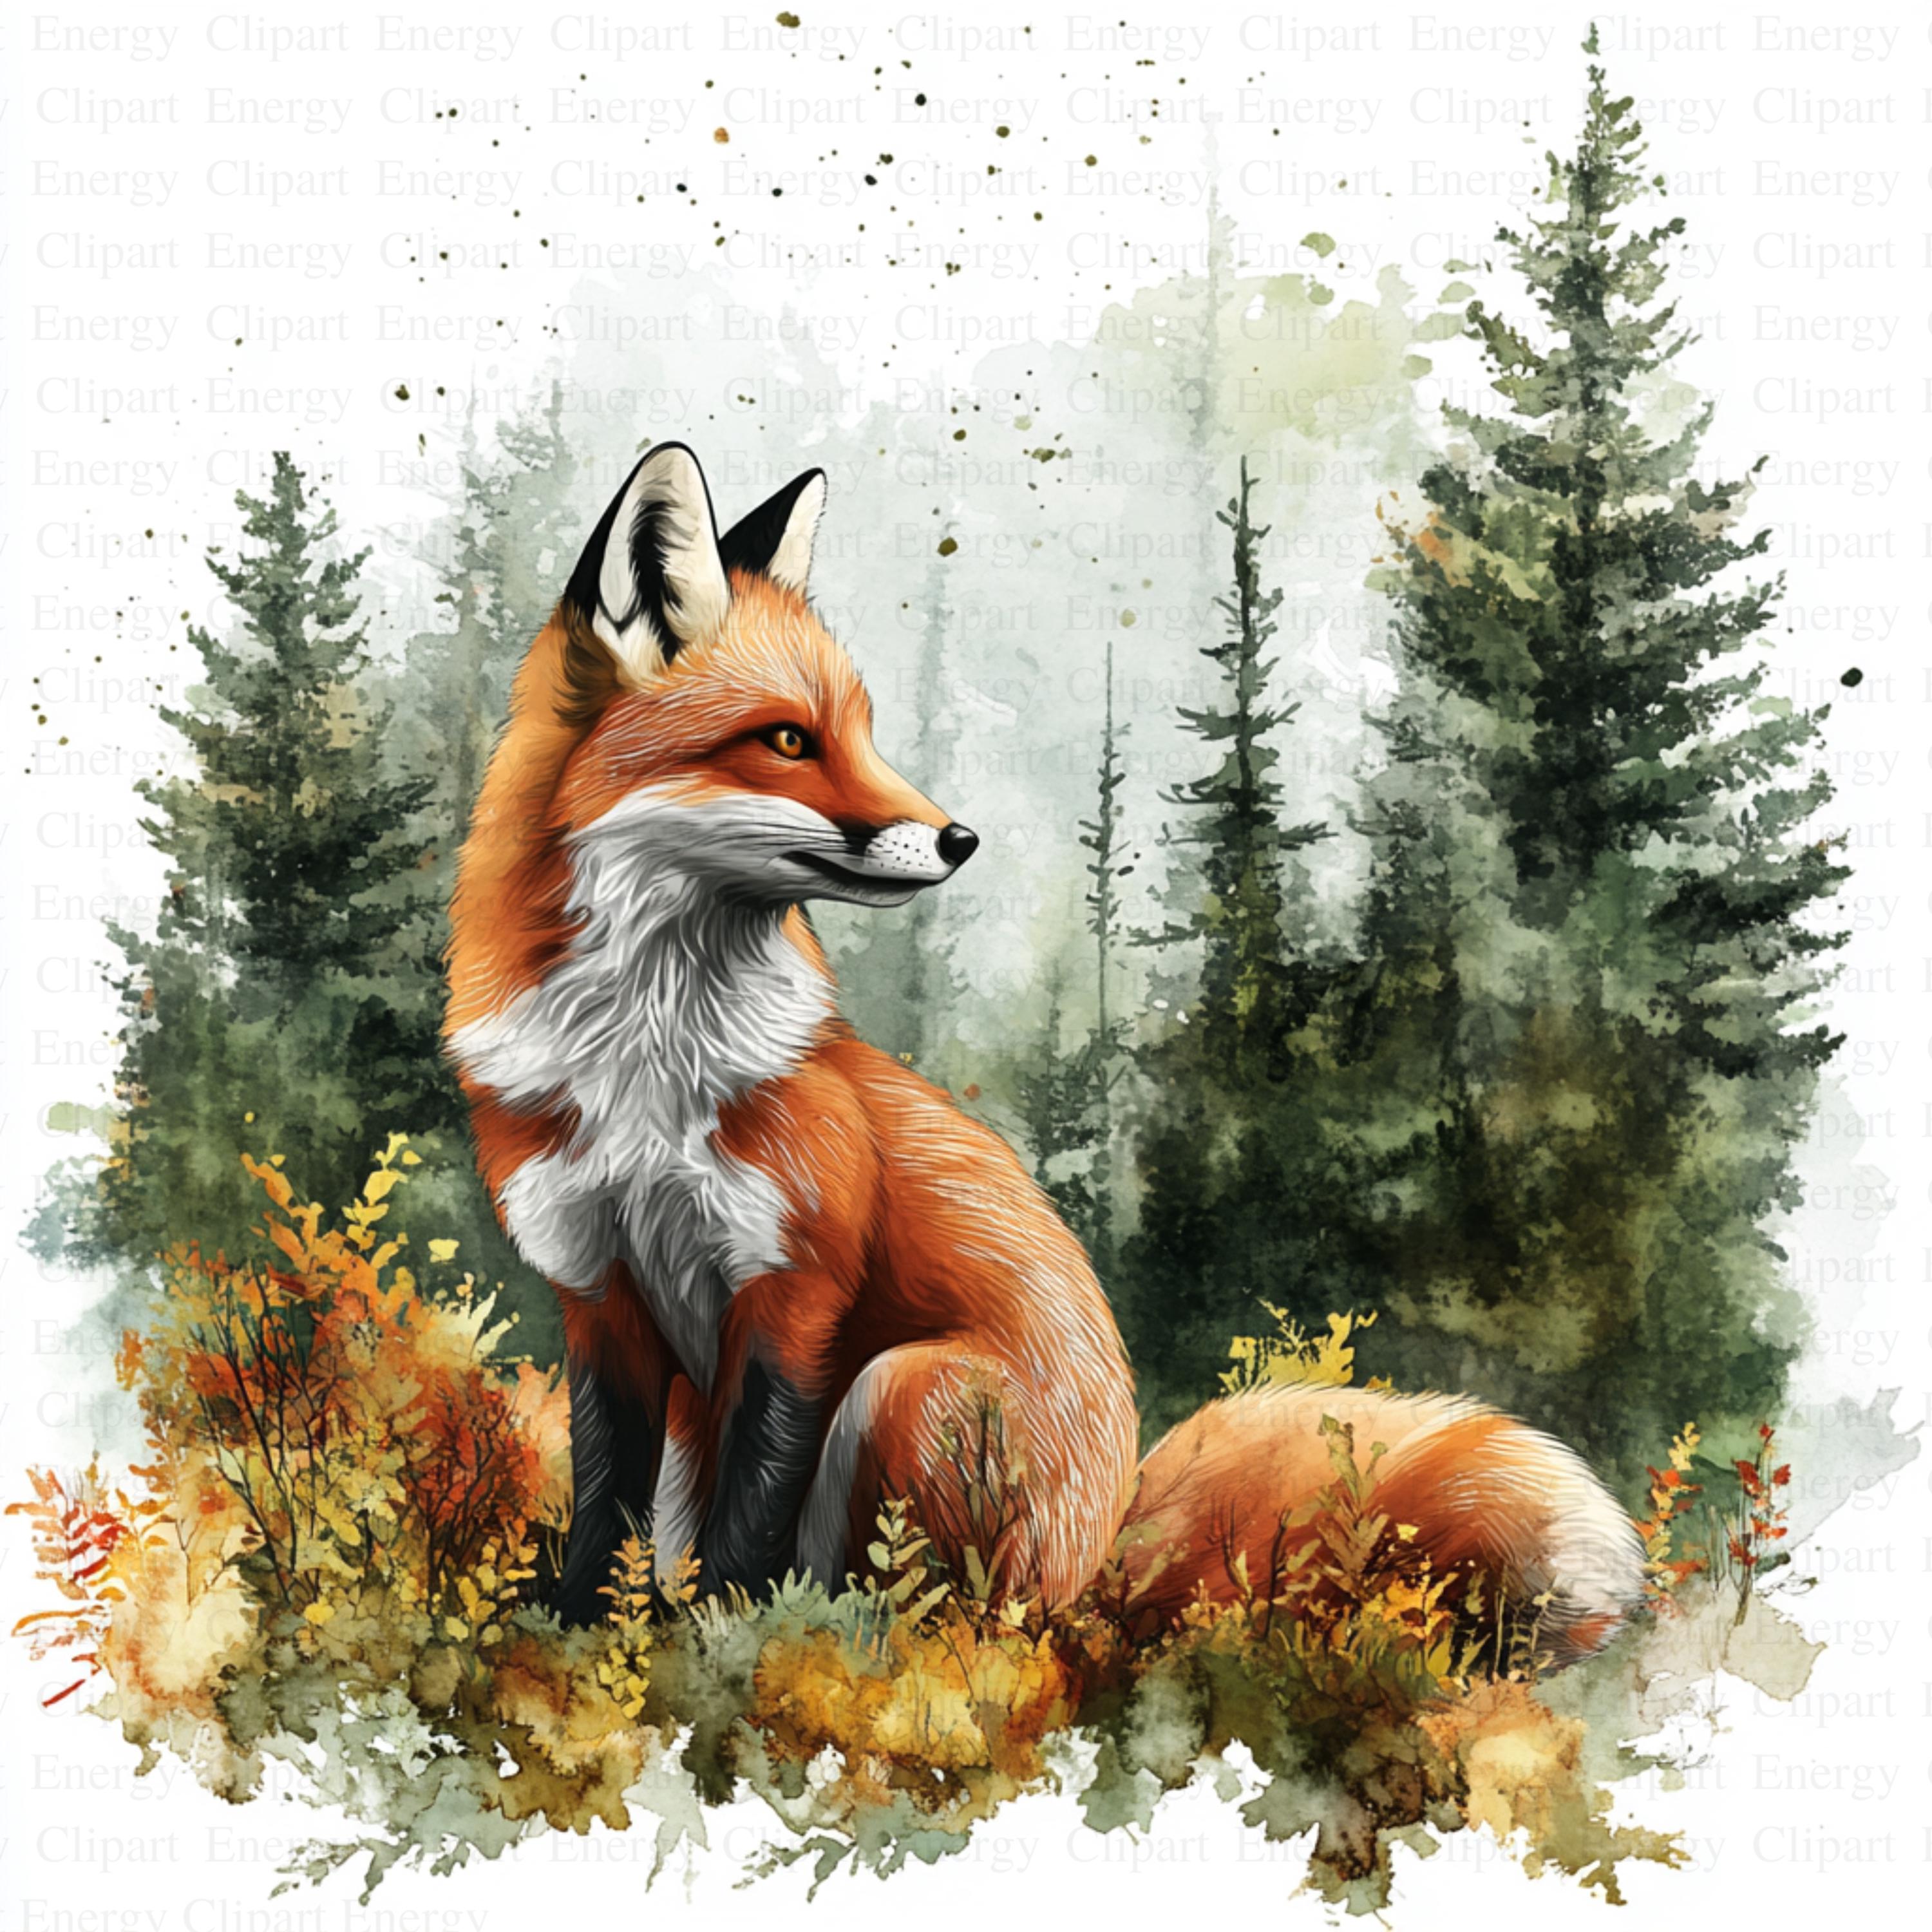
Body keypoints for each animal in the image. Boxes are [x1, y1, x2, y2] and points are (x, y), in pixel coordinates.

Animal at [445, 442, 1644, 1659]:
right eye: (787, 739)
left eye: (865, 733)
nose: (962, 839)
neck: (645, 1064)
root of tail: (1100, 1557)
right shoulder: (598, 1286)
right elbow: (610, 1499)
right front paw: (581, 1625)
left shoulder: (796, 1287)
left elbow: (750, 1517)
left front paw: (723, 1642)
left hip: (907, 1385)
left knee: (930, 1615)